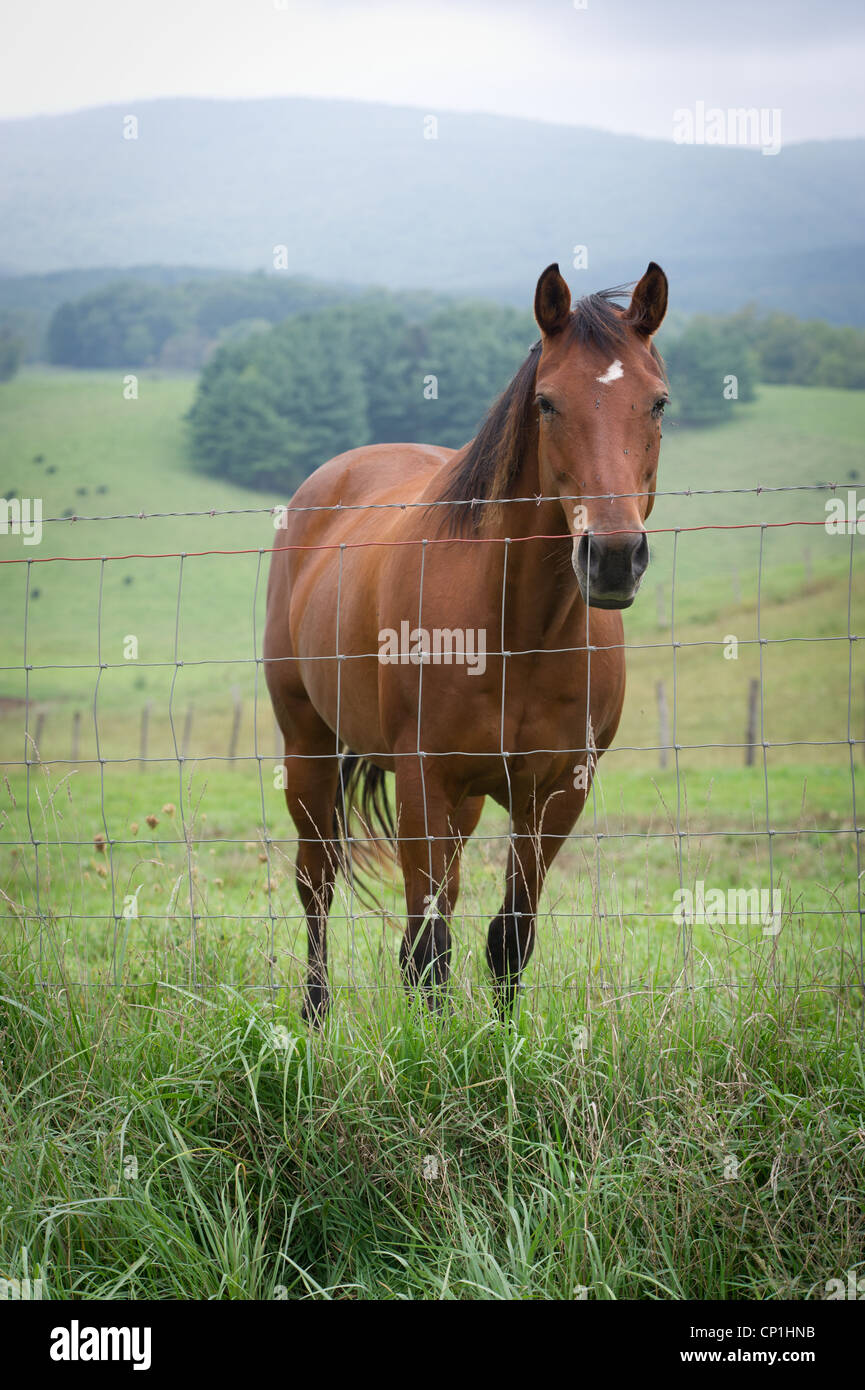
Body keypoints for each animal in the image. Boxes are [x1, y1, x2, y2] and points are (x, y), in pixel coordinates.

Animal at [264, 261, 668, 1022]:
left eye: (657, 403)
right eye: (546, 403)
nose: (611, 557)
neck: (519, 633)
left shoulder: (554, 794)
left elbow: (508, 937)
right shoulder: (425, 779)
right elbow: (429, 951)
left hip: (468, 800)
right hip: (308, 746)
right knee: (317, 881)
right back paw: (314, 1014)